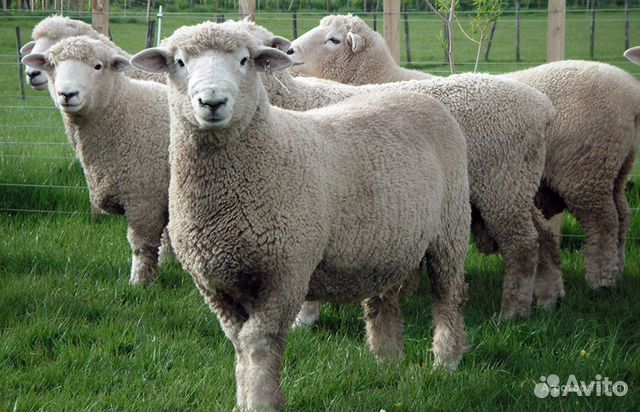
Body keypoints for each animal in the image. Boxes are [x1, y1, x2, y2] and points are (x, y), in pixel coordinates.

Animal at [22, 36, 170, 285]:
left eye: (98, 66)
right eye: (52, 65)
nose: (67, 94)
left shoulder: (144, 199)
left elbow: (142, 247)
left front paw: (139, 284)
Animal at [131, 21, 470, 411]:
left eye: (245, 60)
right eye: (180, 62)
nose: (213, 102)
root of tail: (420, 96)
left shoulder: (286, 274)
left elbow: (258, 342)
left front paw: (261, 401)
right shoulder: (214, 285)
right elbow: (238, 342)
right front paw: (245, 399)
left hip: (451, 230)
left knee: (448, 297)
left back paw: (446, 361)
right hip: (384, 241)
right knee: (382, 300)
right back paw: (387, 360)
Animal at [245, 21, 558, 320]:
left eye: (334, 39)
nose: (291, 51)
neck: (293, 101)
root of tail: (542, 106)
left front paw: (304, 318)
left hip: (501, 188)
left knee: (522, 245)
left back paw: (512, 312)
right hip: (518, 186)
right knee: (543, 234)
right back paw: (548, 296)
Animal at [289, 15, 640, 295]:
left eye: (334, 40)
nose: (289, 50)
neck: (380, 78)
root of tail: (631, 90)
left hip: (583, 171)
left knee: (604, 222)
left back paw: (600, 280)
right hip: (615, 169)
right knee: (622, 215)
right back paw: (617, 271)